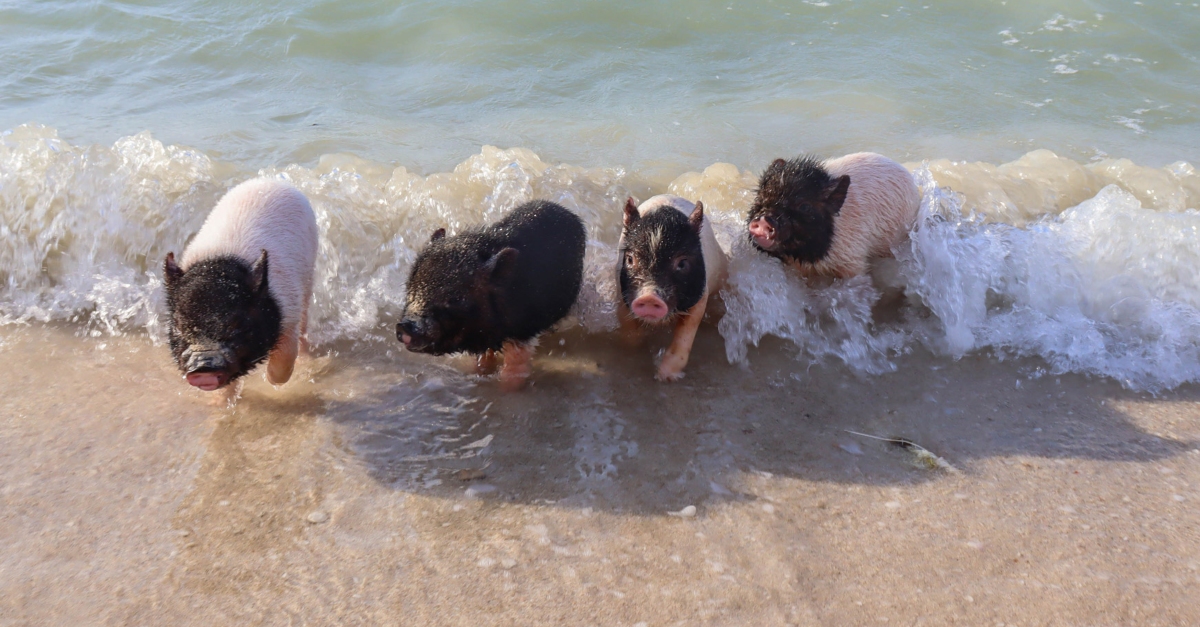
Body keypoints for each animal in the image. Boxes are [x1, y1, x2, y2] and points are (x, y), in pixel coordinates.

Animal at [163, 178, 319, 392]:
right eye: (178, 325)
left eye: (239, 323)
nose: (203, 368)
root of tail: (270, 180)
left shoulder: (290, 312)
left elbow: (285, 359)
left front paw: (272, 382)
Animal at [396, 200, 586, 391]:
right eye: (411, 286)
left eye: (457, 298)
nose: (406, 326)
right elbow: (483, 360)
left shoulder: (524, 332)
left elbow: (514, 368)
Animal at [618, 194, 727, 382]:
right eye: (630, 259)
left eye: (682, 263)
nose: (649, 297)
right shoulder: (622, 293)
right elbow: (629, 331)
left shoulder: (700, 296)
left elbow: (685, 334)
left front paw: (663, 377)